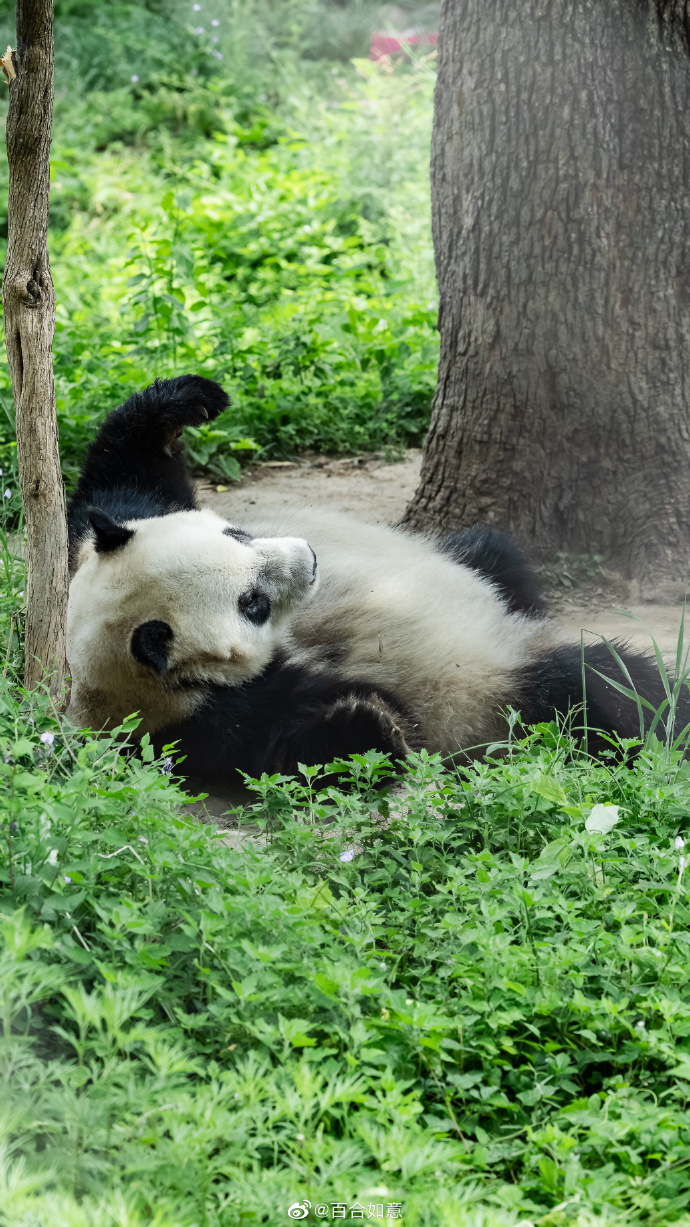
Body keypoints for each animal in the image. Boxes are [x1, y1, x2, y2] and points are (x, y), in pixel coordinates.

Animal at [66, 374, 677, 782]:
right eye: (252, 604)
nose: (310, 559)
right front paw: (374, 724)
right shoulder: (202, 718)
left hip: (469, 561)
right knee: (600, 687)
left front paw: (192, 399)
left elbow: (122, 472)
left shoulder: (106, 531)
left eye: (237, 533)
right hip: (499, 692)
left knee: (494, 554)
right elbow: (281, 749)